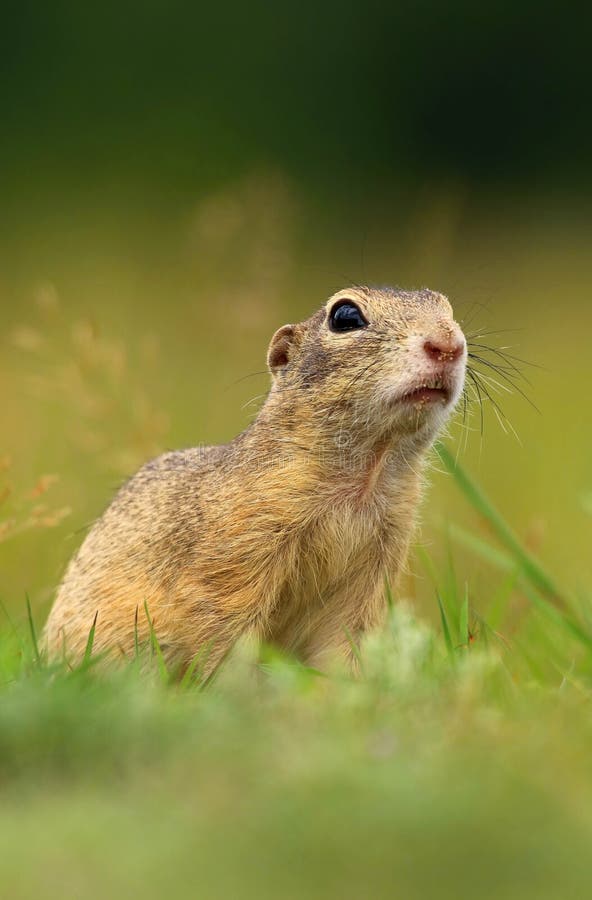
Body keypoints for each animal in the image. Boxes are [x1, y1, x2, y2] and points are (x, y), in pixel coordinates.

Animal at [44, 286, 467, 673]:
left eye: (447, 307)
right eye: (345, 316)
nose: (448, 344)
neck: (365, 478)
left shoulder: (377, 563)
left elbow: (346, 641)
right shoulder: (240, 551)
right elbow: (222, 635)